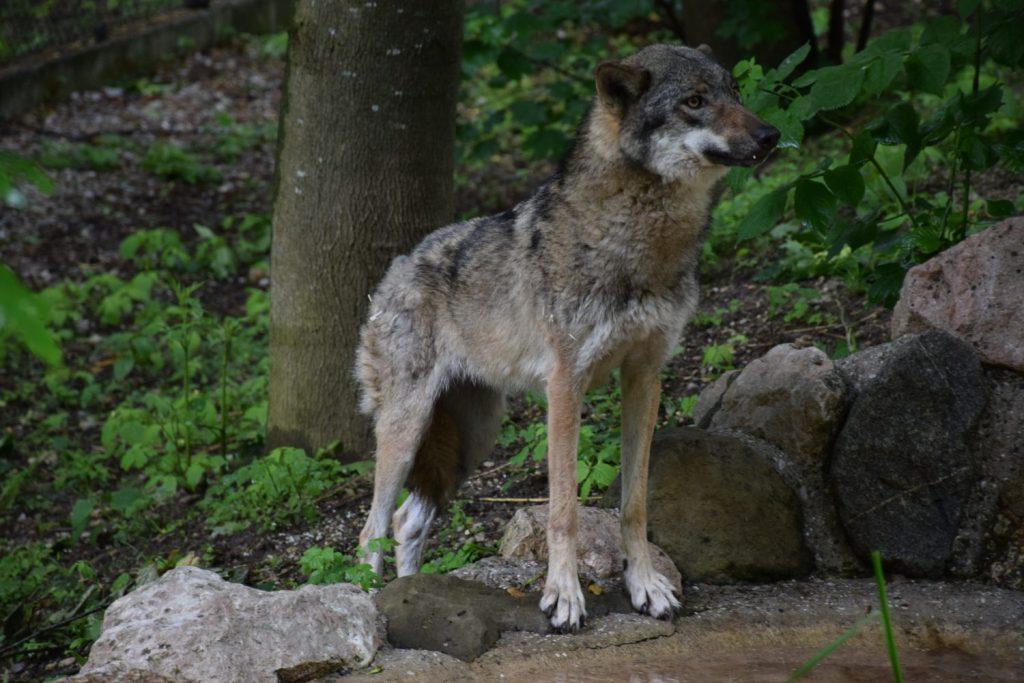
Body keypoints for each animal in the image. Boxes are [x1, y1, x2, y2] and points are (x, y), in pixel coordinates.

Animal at [356, 43, 779, 632]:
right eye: (694, 101)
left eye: (734, 92)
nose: (771, 134)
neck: (638, 239)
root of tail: (392, 272)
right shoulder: (565, 387)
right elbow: (563, 509)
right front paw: (564, 596)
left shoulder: (645, 376)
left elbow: (635, 503)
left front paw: (646, 588)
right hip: (407, 428)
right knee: (370, 527)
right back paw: (367, 606)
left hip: (472, 440)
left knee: (405, 522)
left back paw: (410, 595)